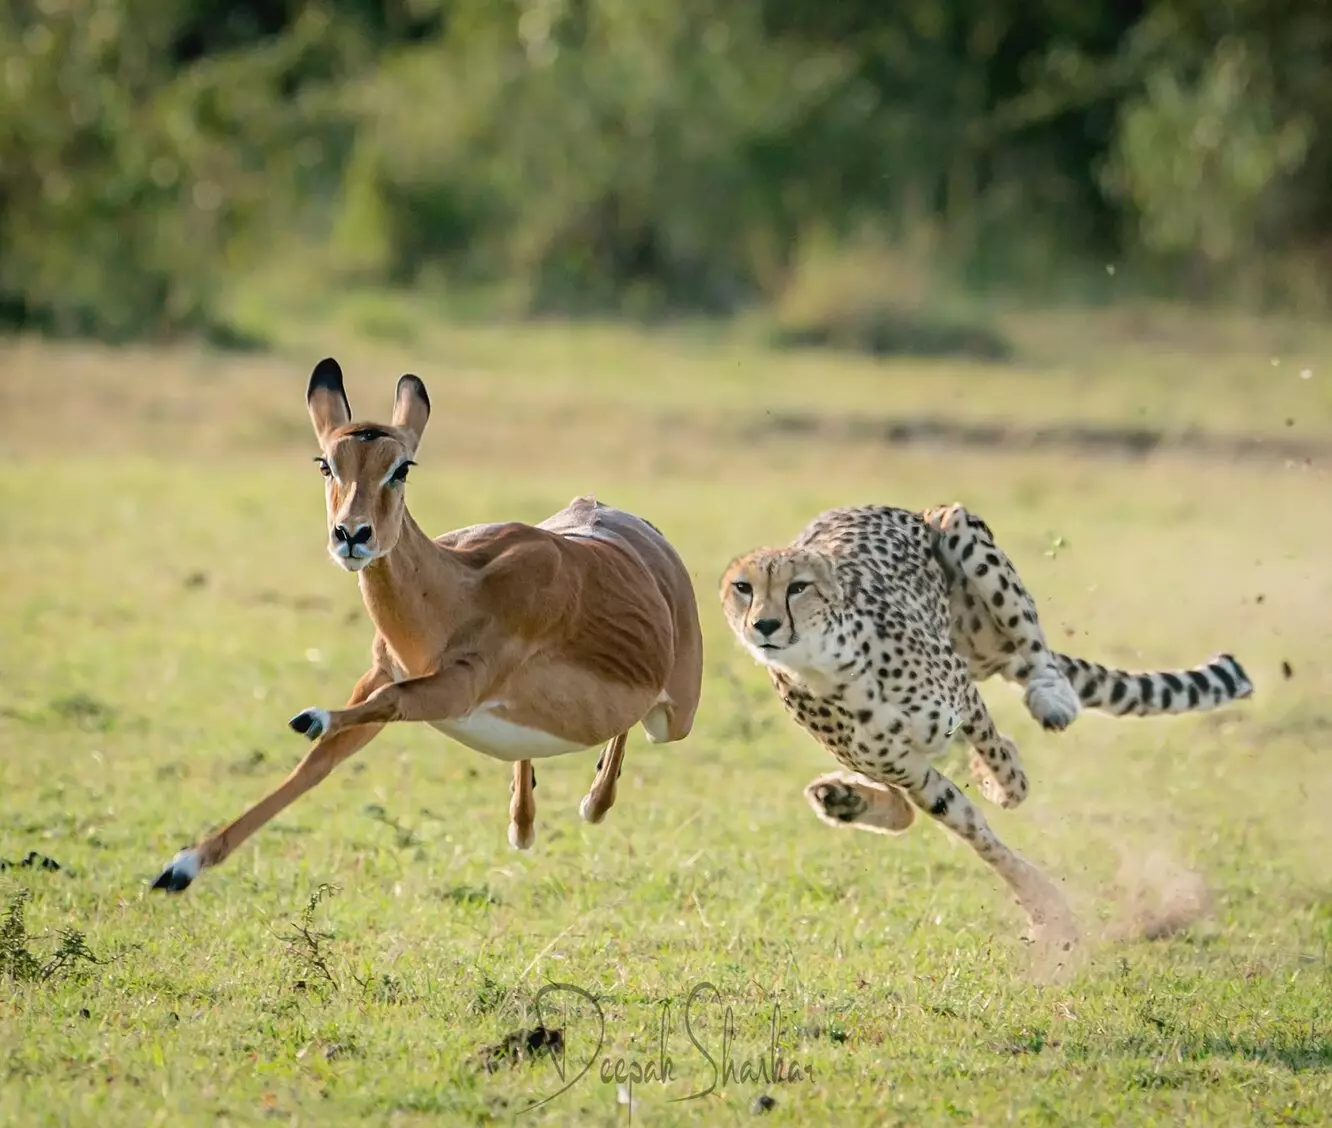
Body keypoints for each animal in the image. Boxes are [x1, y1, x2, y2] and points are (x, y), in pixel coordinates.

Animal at [719, 506, 1246, 937]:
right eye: (743, 588)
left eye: (798, 587)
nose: (763, 625)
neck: (826, 665)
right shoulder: (911, 771)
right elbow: (974, 831)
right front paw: (1042, 903)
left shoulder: (962, 698)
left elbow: (998, 759)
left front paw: (1002, 783)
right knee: (904, 807)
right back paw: (843, 799)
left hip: (958, 530)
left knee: (1035, 650)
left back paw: (1051, 697)